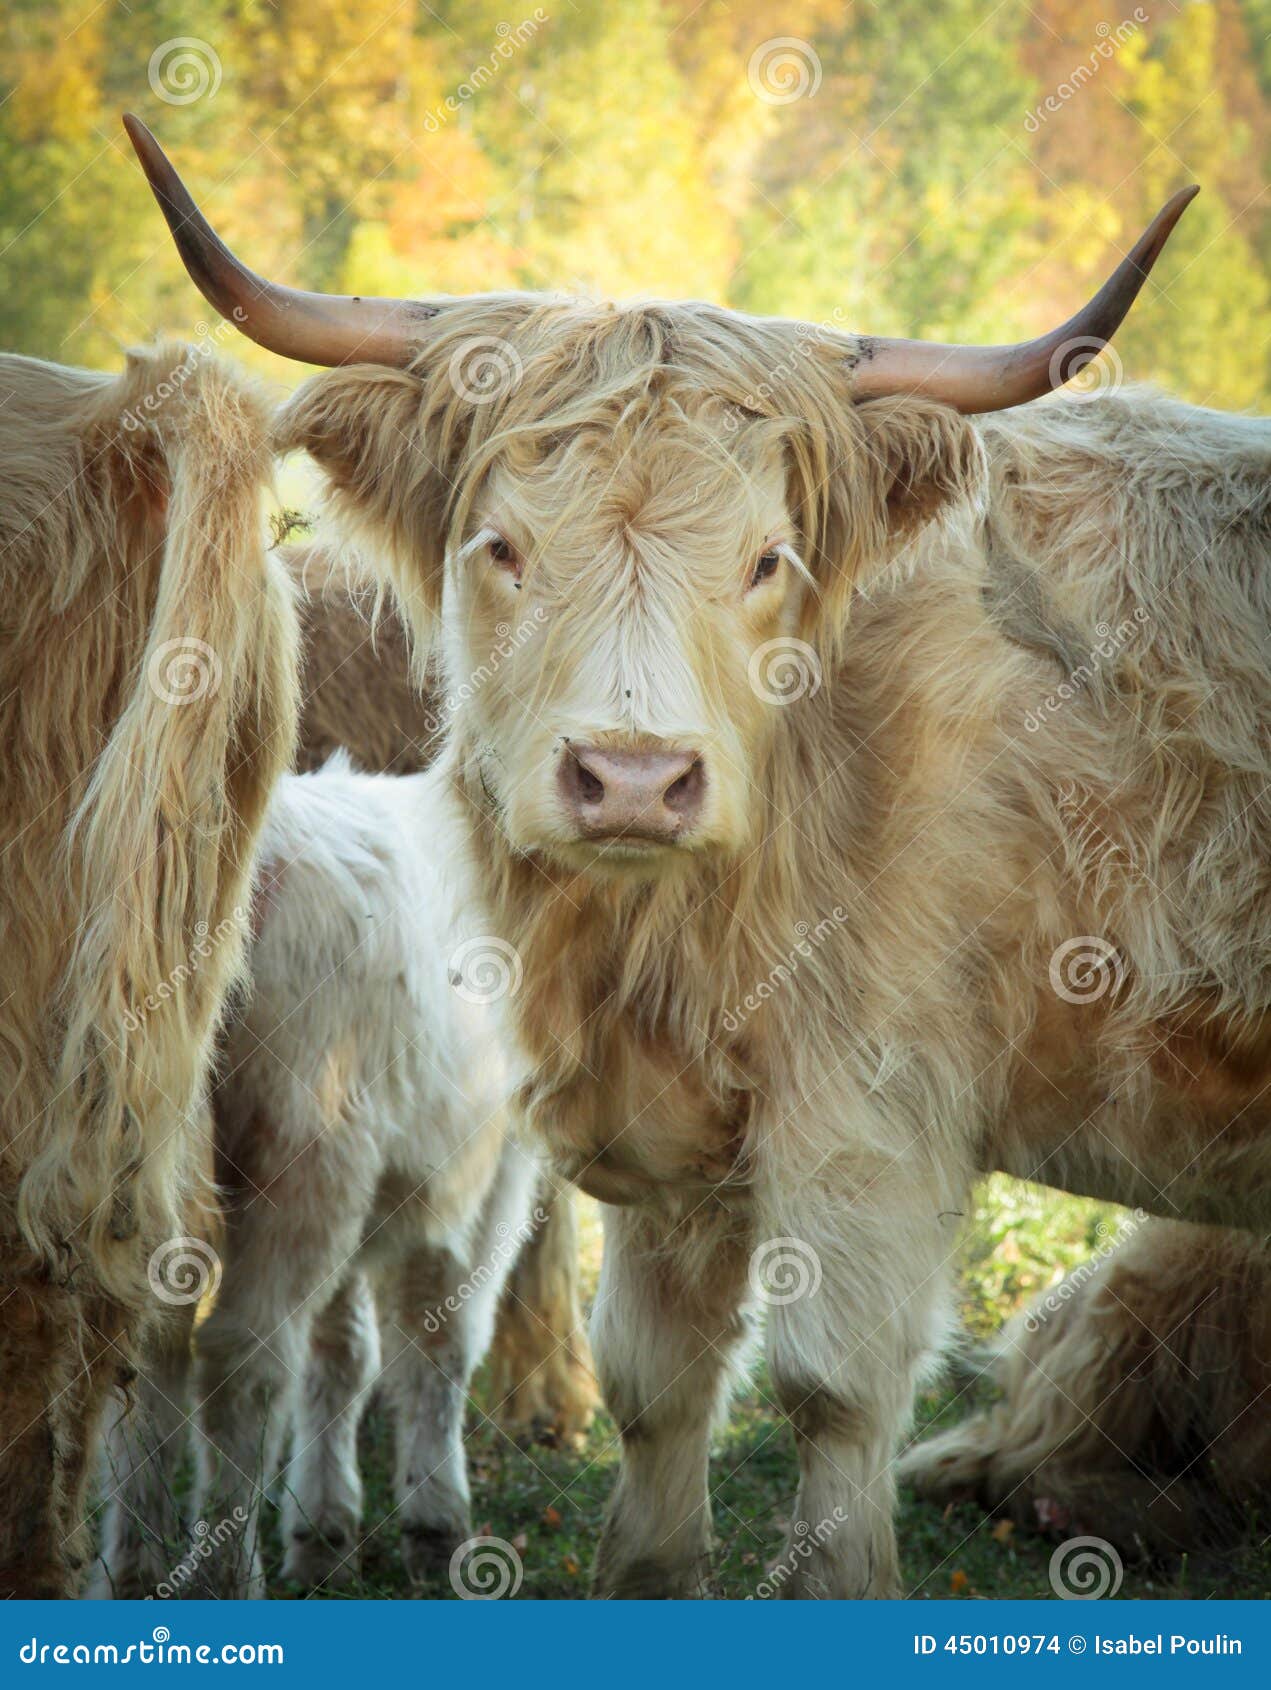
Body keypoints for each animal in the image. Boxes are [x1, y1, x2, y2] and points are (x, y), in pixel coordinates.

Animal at [128, 111, 1271, 1599]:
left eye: (765, 559)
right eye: (501, 546)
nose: (631, 778)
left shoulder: (869, 1117)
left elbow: (830, 1396)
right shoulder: (671, 1152)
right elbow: (656, 1401)